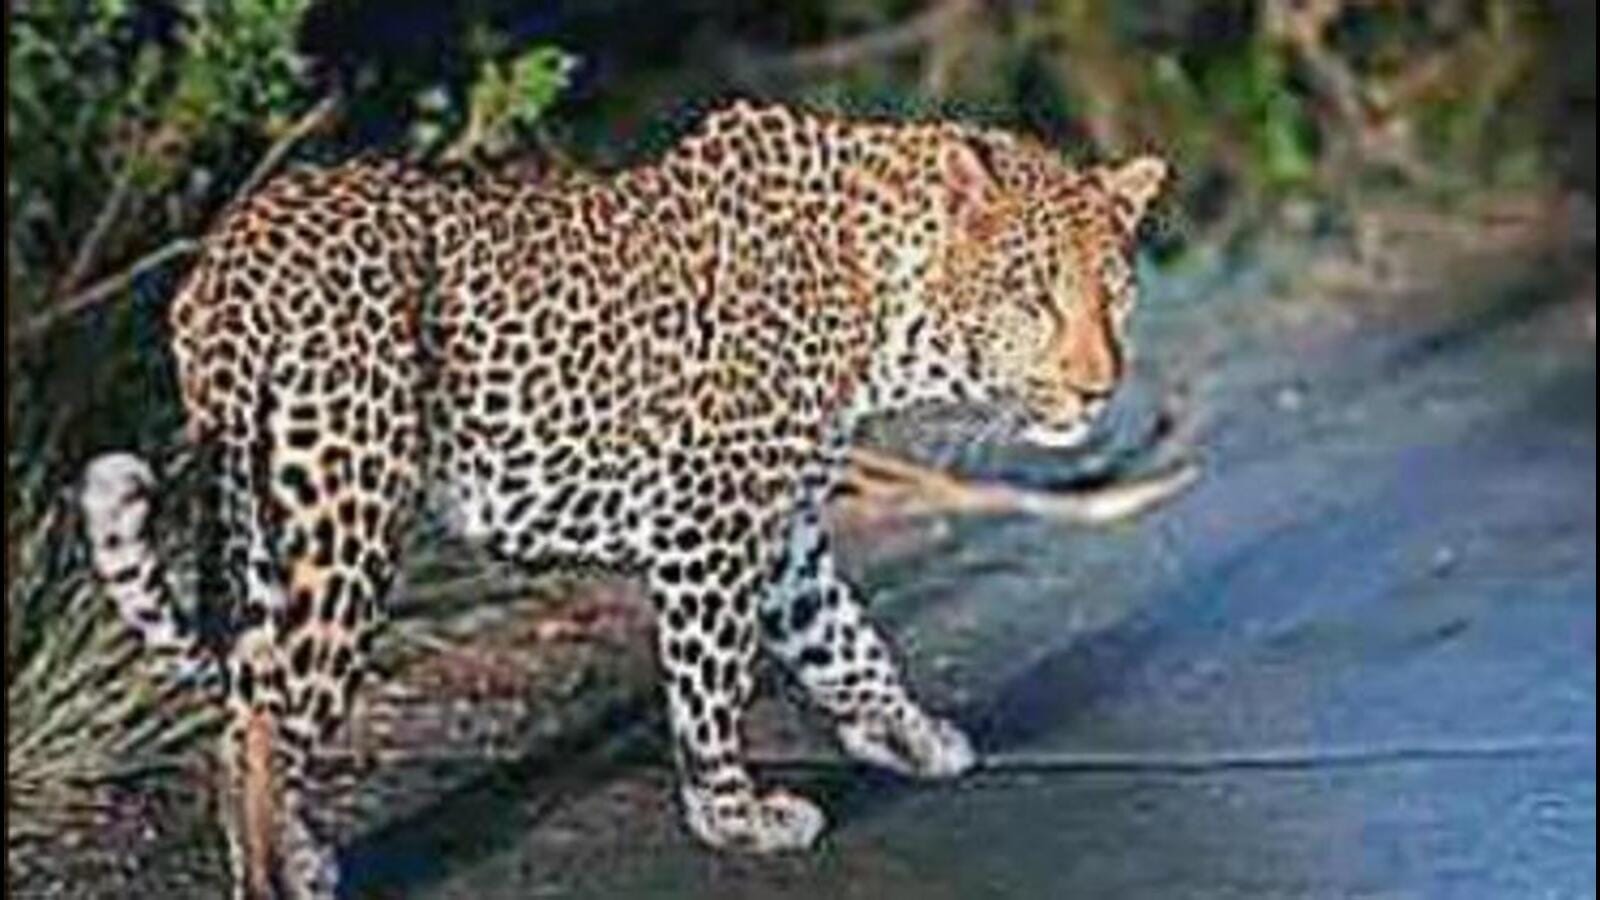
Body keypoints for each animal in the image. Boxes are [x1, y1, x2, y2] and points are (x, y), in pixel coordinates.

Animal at [80, 98, 1168, 899]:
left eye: (1116, 295)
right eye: (1032, 296)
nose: (1097, 389)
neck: (882, 298)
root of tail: (237, 250)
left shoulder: (783, 528)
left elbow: (845, 638)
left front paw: (905, 734)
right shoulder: (713, 519)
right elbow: (711, 681)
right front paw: (735, 816)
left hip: (270, 515)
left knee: (252, 694)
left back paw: (298, 854)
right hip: (347, 511)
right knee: (260, 719)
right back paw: (273, 870)